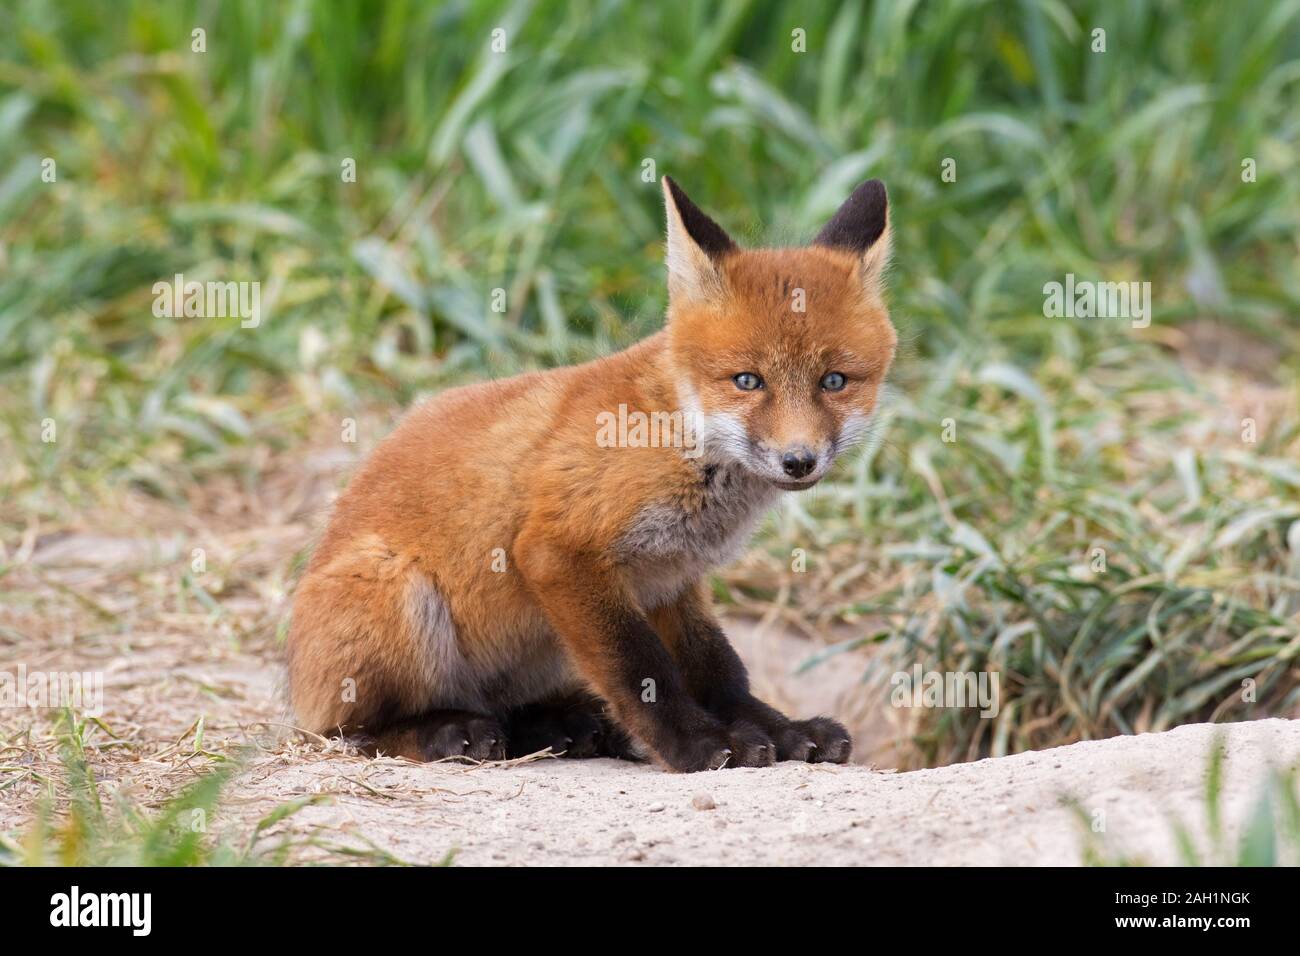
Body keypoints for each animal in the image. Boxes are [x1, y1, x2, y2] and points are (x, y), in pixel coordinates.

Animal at [287, 176, 897, 772]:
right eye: (748, 381)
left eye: (834, 382)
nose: (800, 460)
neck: (674, 436)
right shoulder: (560, 552)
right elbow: (642, 670)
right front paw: (696, 745)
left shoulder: (672, 579)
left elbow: (720, 670)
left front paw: (781, 730)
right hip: (399, 597)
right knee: (350, 732)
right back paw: (444, 731)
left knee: (514, 712)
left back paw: (555, 728)